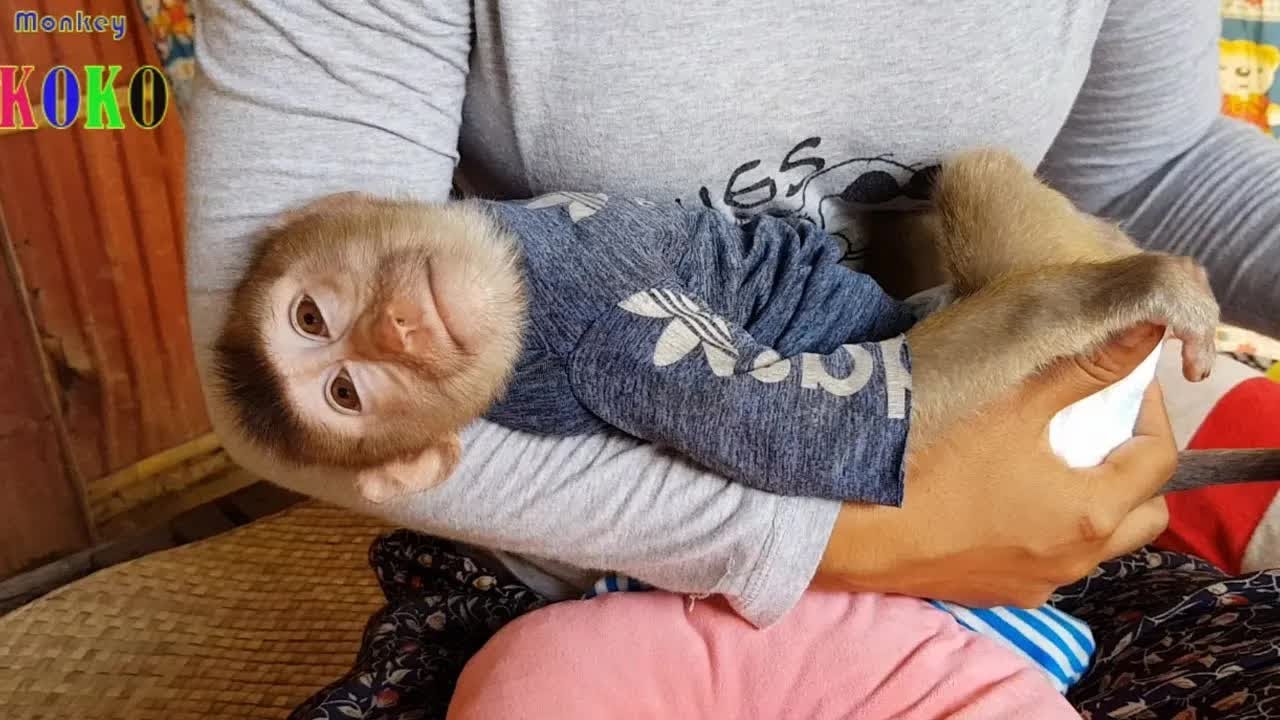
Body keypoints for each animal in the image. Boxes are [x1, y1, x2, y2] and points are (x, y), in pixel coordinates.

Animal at [211, 151, 1280, 505]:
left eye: (312, 315)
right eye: (342, 391)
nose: (395, 331)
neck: (528, 278)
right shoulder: (608, 348)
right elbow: (829, 425)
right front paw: (1144, 288)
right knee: (981, 177)